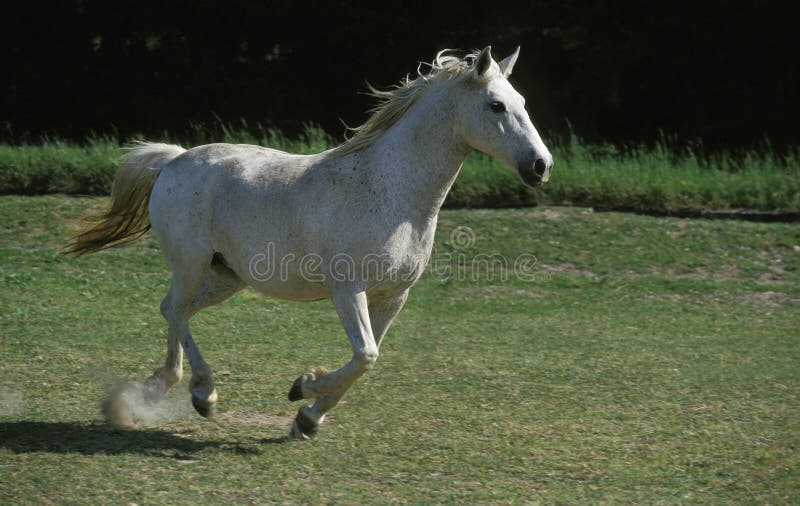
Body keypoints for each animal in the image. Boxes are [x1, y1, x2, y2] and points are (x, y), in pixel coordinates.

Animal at [64, 46, 553, 439]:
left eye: (524, 103)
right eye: (495, 105)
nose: (541, 166)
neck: (390, 189)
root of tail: (173, 160)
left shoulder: (394, 295)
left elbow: (367, 360)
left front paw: (307, 418)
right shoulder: (347, 289)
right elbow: (365, 354)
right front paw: (304, 388)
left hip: (226, 276)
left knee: (174, 310)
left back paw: (159, 391)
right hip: (191, 263)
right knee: (176, 310)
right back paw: (202, 393)